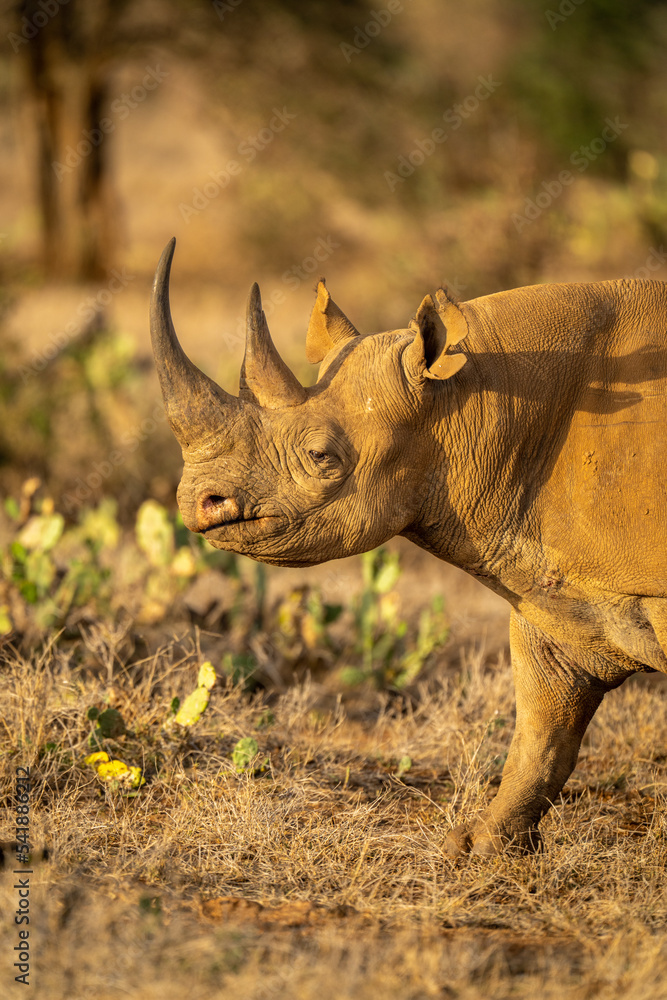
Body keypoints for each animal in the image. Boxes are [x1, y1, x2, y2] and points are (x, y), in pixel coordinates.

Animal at [150, 237, 667, 855]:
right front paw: (483, 846)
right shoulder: (553, 588)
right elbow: (544, 726)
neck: (472, 400)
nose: (196, 501)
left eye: (323, 458)